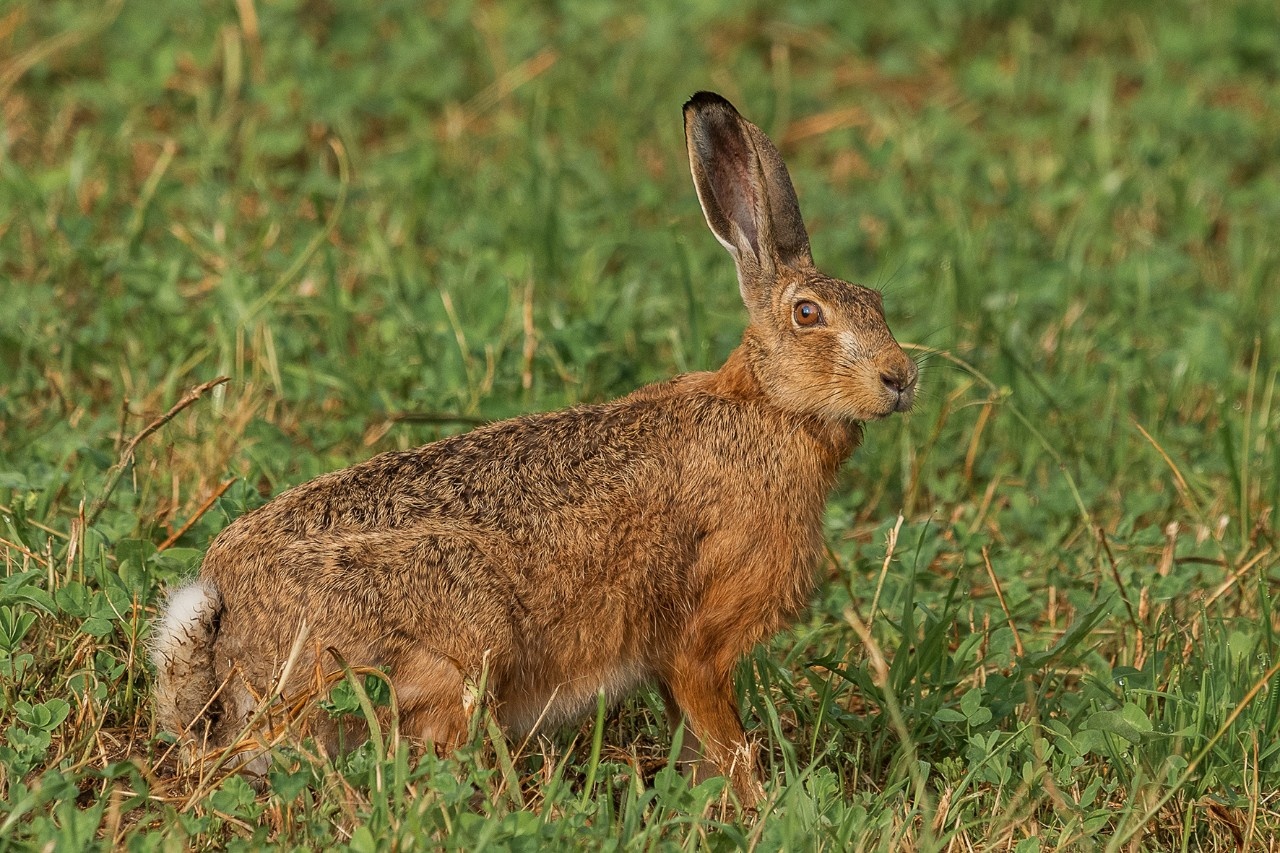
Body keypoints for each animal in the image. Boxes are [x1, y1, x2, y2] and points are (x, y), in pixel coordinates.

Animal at [151, 91, 918, 807]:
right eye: (808, 314)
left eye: (877, 301)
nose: (901, 378)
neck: (769, 408)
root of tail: (231, 626)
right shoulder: (700, 642)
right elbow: (720, 736)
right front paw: (755, 807)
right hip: (457, 634)